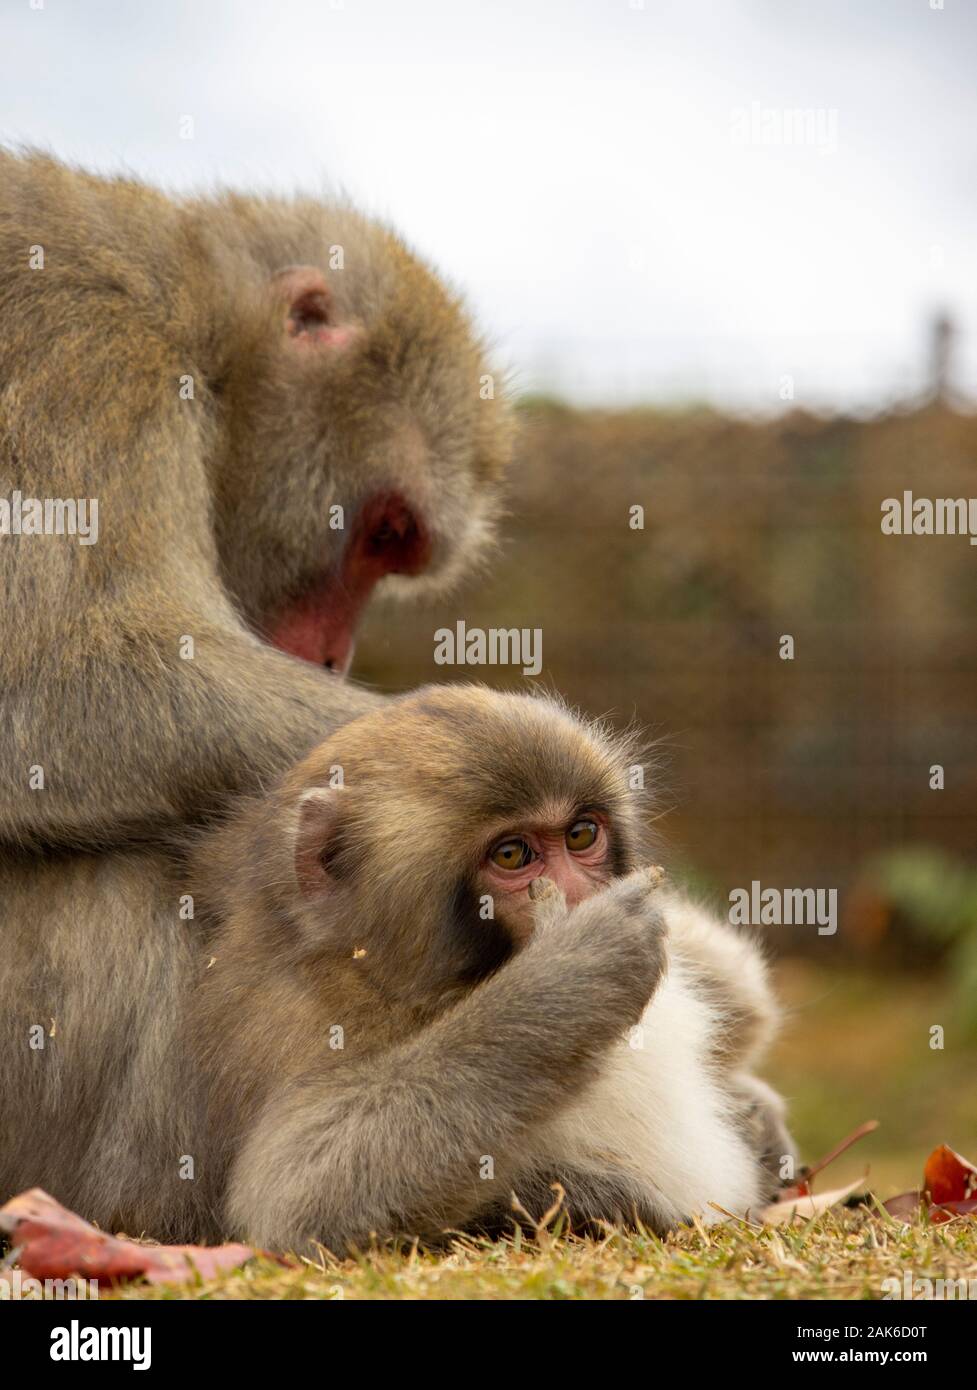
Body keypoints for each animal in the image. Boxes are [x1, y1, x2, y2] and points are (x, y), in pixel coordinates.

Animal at [0, 150, 510, 851]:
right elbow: (53, 693)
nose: (335, 658)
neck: (200, 330)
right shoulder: (87, 357)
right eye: (383, 533)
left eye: (392, 550)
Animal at [0, 684, 792, 1253]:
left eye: (579, 836)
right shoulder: (300, 1027)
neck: (404, 979)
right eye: (513, 855)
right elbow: (295, 1203)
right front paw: (571, 973)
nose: (577, 896)